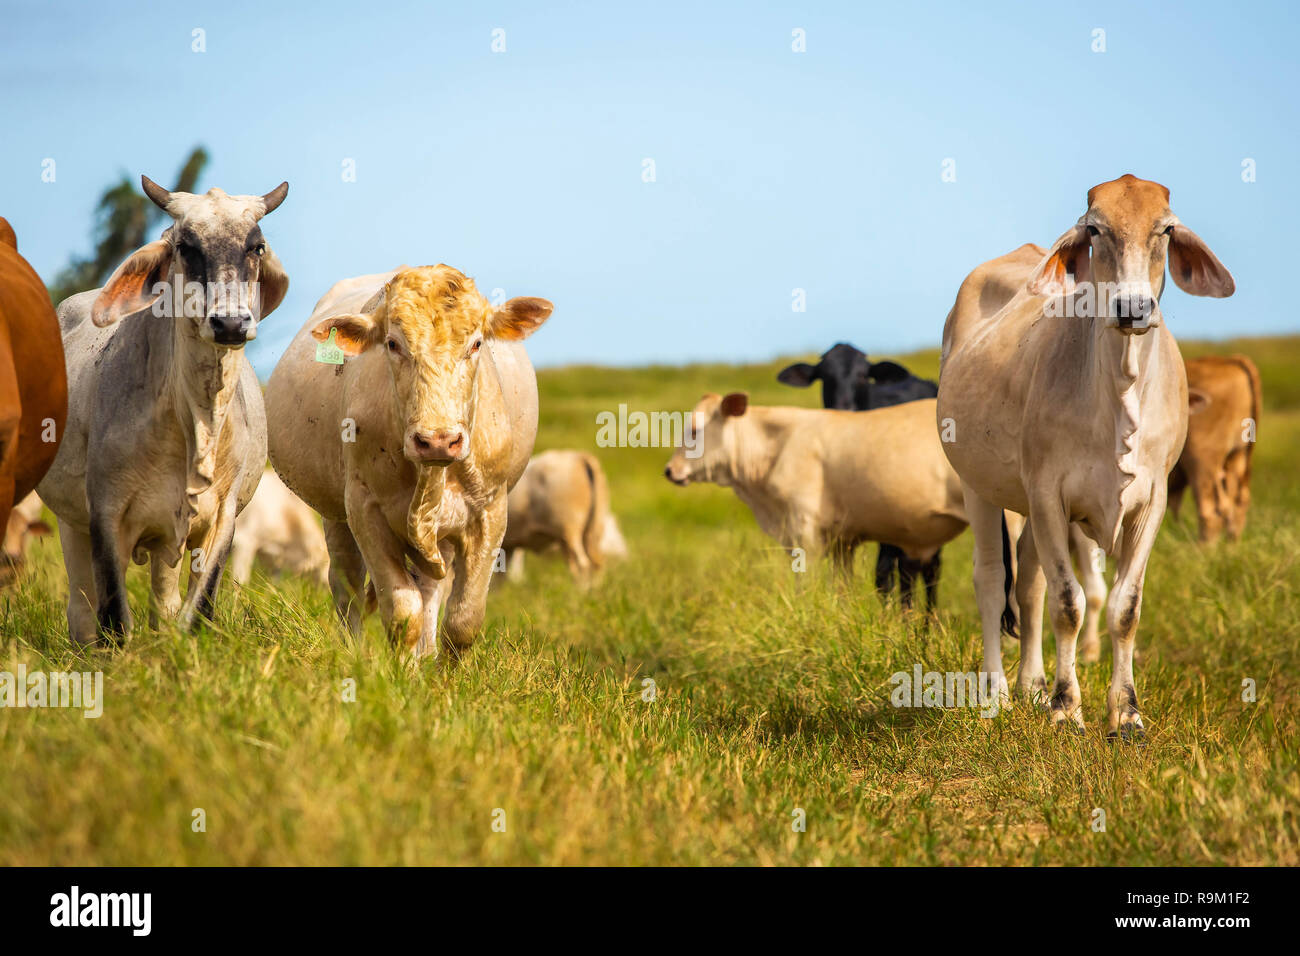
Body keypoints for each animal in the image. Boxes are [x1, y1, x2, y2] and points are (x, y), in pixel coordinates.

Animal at [38, 177, 289, 644]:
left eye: (257, 246)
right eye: (186, 246)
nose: (230, 323)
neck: (194, 422)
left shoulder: (223, 517)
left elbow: (197, 610)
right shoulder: (105, 514)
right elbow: (114, 618)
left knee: (164, 602)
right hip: (71, 522)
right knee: (81, 611)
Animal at [264, 265, 552, 660]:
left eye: (477, 344)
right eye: (393, 344)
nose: (437, 440)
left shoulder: (490, 512)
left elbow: (463, 619)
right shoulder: (365, 509)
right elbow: (403, 612)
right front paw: (402, 671)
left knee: (429, 589)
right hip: (335, 514)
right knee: (347, 587)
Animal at [664, 393, 967, 603]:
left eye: (694, 430)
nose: (669, 470)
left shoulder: (804, 532)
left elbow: (806, 586)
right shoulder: (843, 541)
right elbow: (842, 588)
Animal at [778, 343, 942, 608]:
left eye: (864, 376)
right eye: (824, 376)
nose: (845, 410)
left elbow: (885, 571)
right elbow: (842, 573)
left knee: (927, 567)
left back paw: (926, 616)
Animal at [937, 174, 1235, 738]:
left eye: (1165, 229)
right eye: (1095, 229)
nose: (1133, 308)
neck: (1119, 390)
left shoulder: (1151, 501)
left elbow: (1124, 607)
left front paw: (1125, 712)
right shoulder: (1048, 495)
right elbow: (1068, 603)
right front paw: (1066, 708)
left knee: (1028, 582)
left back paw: (1031, 685)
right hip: (977, 485)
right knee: (991, 581)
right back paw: (997, 694)